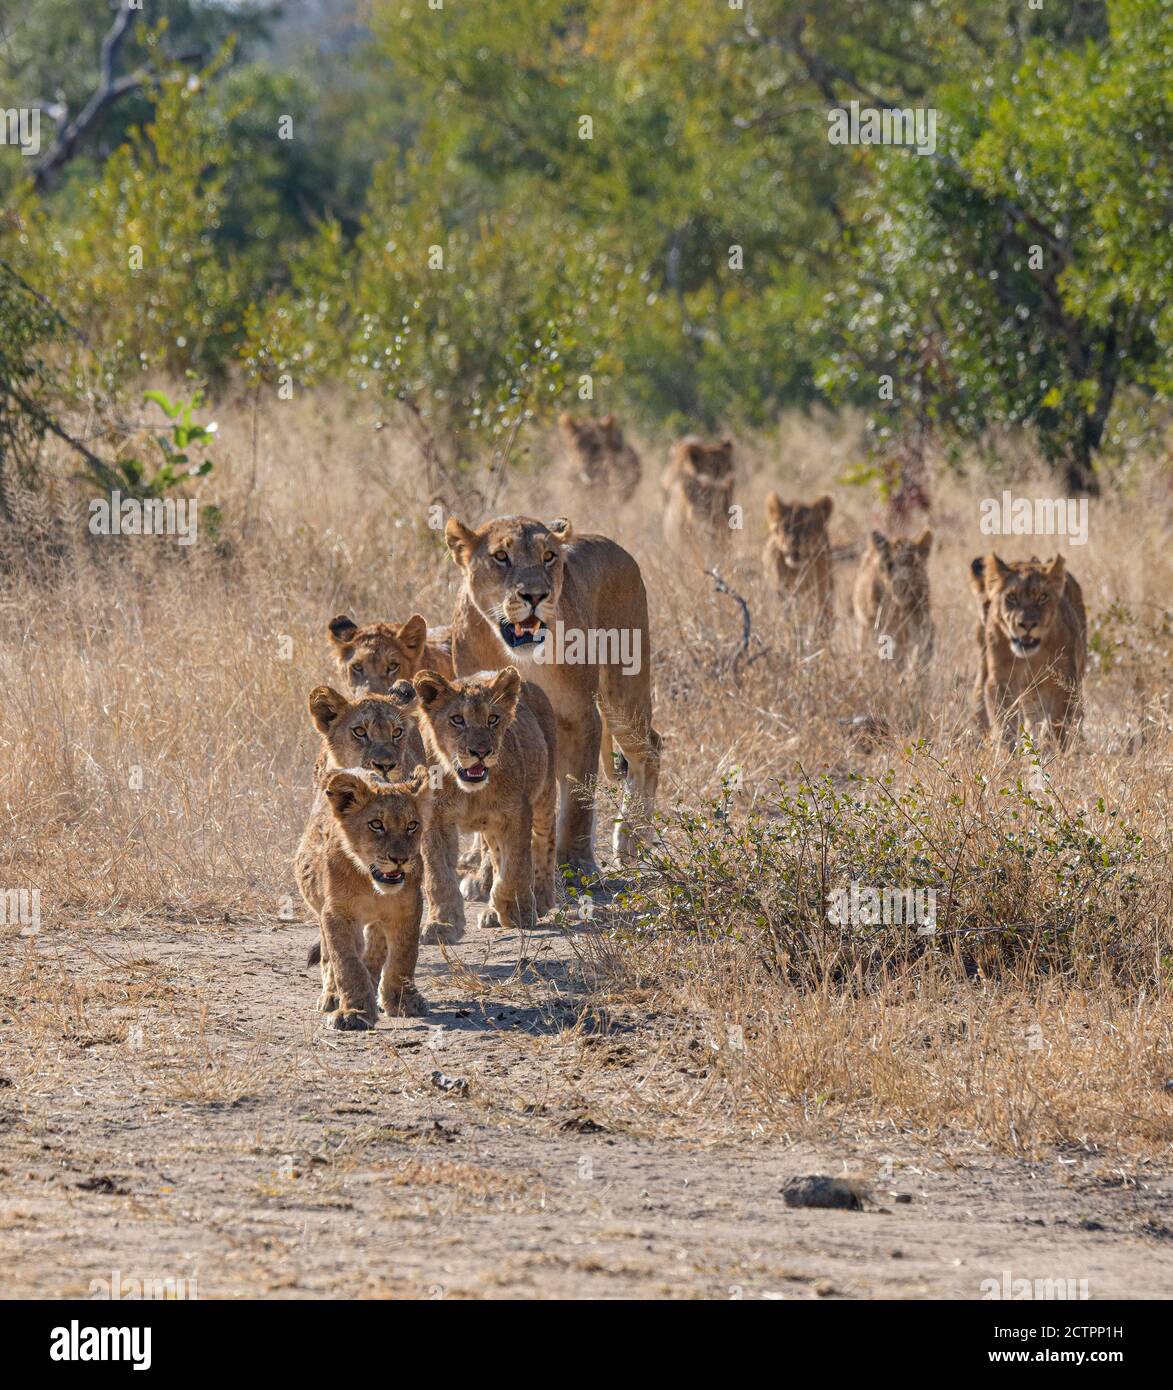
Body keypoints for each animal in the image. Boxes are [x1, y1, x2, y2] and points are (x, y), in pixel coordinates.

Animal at [294, 767, 432, 1030]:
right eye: (376, 824)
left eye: (412, 825)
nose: (400, 859)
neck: (371, 884)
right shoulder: (337, 913)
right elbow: (346, 963)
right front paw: (354, 1012)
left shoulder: (408, 908)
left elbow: (404, 956)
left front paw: (402, 1001)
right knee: (328, 956)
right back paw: (332, 996)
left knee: (375, 952)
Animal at [412, 667, 557, 940]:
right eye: (457, 719)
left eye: (493, 719)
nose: (481, 752)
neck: (470, 790)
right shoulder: (434, 818)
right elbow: (438, 875)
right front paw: (442, 923)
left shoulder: (517, 812)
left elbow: (515, 866)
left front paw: (515, 910)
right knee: (496, 854)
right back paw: (492, 912)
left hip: (544, 792)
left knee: (545, 841)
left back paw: (541, 899)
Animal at [444, 514, 661, 883]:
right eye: (501, 557)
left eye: (548, 557)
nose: (535, 595)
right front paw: (487, 868)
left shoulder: (580, 717)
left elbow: (578, 798)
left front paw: (576, 865)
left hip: (622, 691)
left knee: (651, 748)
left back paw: (631, 843)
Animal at [762, 492, 835, 635]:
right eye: (785, 527)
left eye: (808, 527)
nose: (793, 543)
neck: (798, 570)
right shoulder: (782, 591)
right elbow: (787, 617)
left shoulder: (821, 590)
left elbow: (821, 614)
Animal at [969, 553, 1088, 749]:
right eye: (1011, 597)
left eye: (1042, 597)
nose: (1027, 624)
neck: (1031, 656)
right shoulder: (1001, 681)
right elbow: (1005, 725)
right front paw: (1006, 753)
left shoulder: (1065, 682)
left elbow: (1055, 726)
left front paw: (1051, 750)